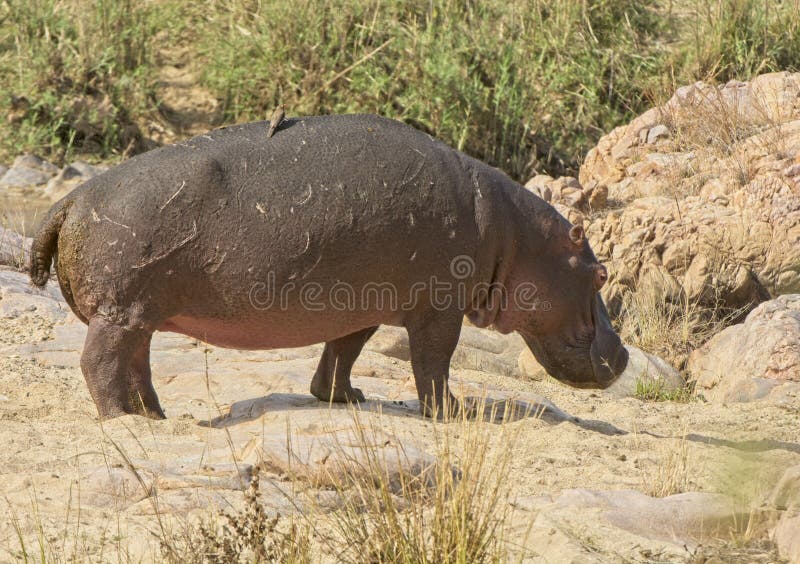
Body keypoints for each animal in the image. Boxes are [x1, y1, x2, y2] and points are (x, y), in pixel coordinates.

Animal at [30, 114, 627, 420]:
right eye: (600, 275)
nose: (622, 355)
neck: (516, 237)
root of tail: (72, 198)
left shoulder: (364, 303)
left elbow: (344, 350)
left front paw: (343, 398)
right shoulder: (439, 310)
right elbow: (433, 364)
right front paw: (453, 412)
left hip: (141, 314)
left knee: (138, 363)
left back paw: (154, 415)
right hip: (120, 312)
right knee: (100, 363)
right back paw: (124, 419)